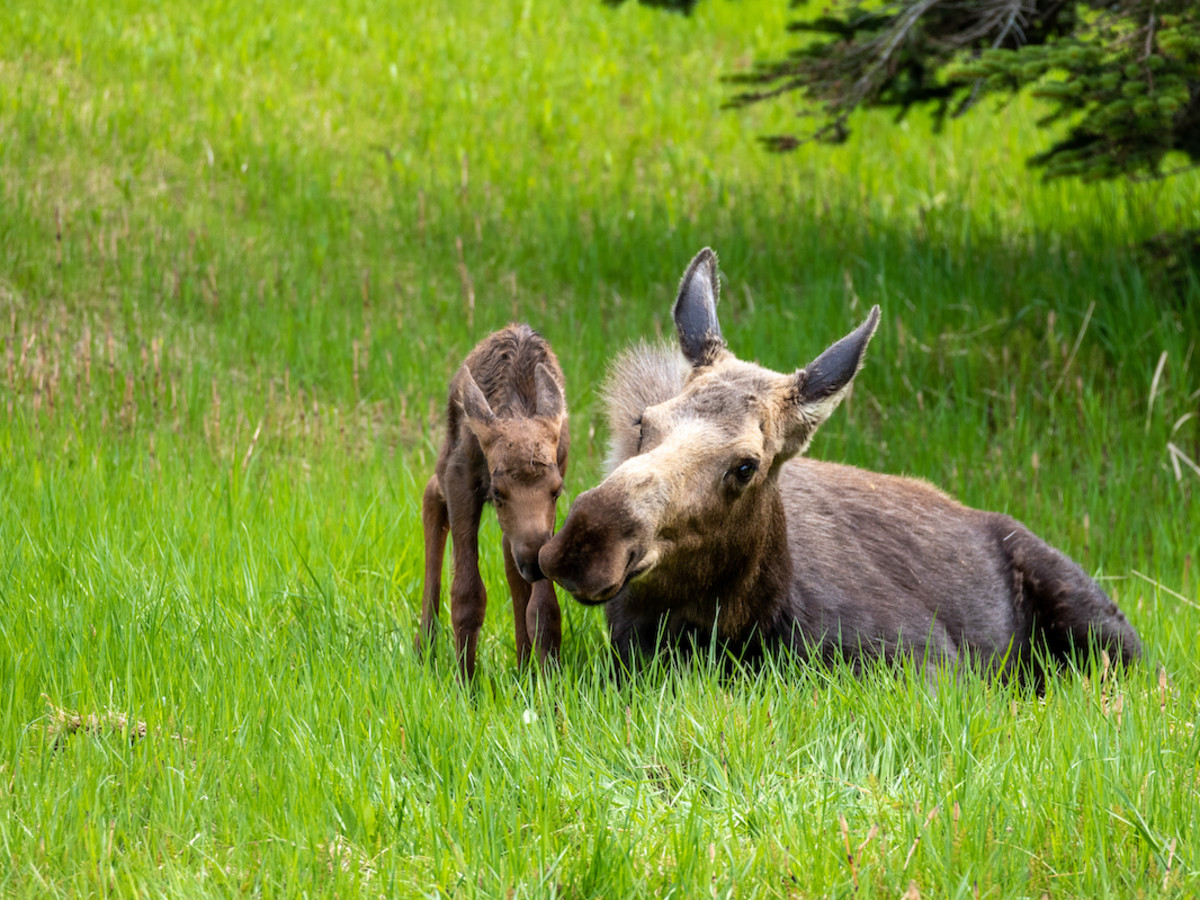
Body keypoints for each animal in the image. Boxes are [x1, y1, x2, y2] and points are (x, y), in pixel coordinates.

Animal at [420, 324, 569, 680]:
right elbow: (467, 593)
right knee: (430, 494)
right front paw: (465, 684)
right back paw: (424, 648)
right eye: (498, 492)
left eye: (557, 490)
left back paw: (524, 667)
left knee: (509, 558)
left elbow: (544, 607)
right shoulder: (461, 479)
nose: (533, 560)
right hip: (446, 461)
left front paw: (548, 684)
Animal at [538, 249, 1140, 684]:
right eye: (644, 421)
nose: (588, 541)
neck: (744, 623)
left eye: (746, 467)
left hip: (1103, 627)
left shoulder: (931, 661)